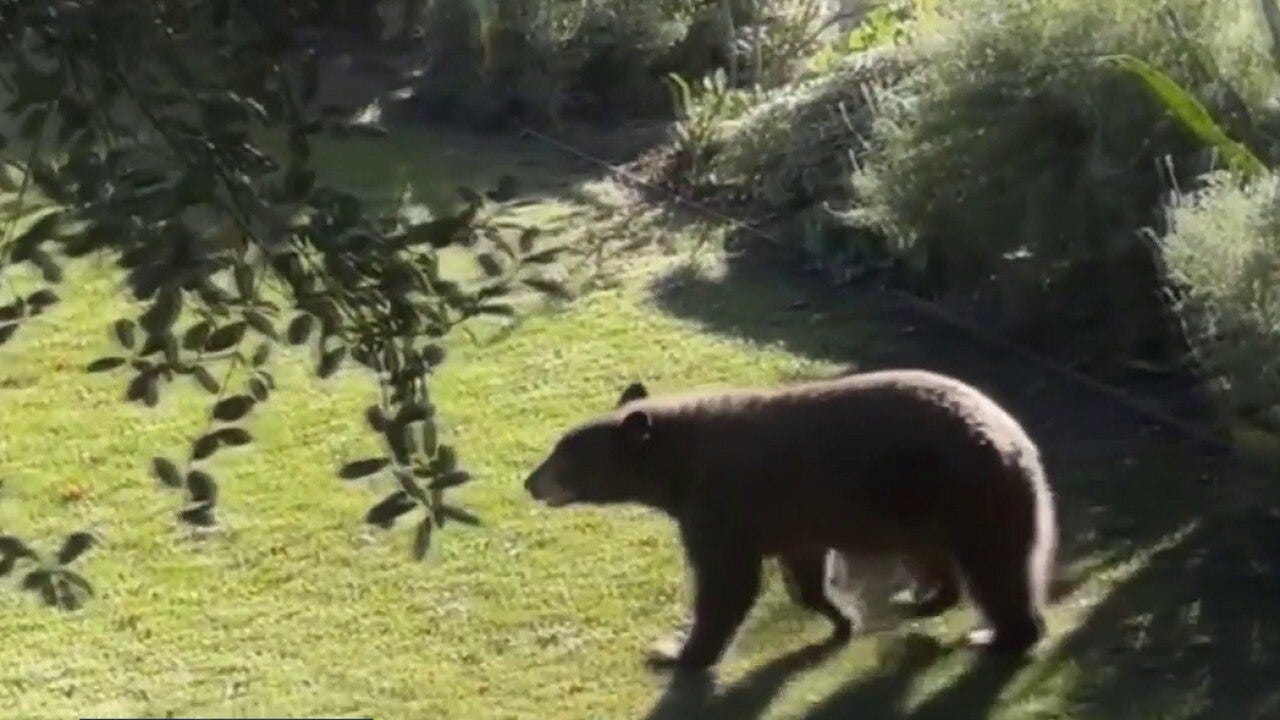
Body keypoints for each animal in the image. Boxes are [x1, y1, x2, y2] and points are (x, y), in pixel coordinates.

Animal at [522, 369, 1058, 670]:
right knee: (934, 558)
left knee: (997, 571)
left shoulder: (723, 504)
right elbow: (804, 572)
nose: (529, 481)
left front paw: (676, 653)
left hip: (968, 497)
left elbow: (727, 582)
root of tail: (1020, 441)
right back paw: (920, 598)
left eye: (563, 457)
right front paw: (842, 617)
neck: (678, 468)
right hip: (921, 506)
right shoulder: (791, 515)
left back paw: (996, 635)